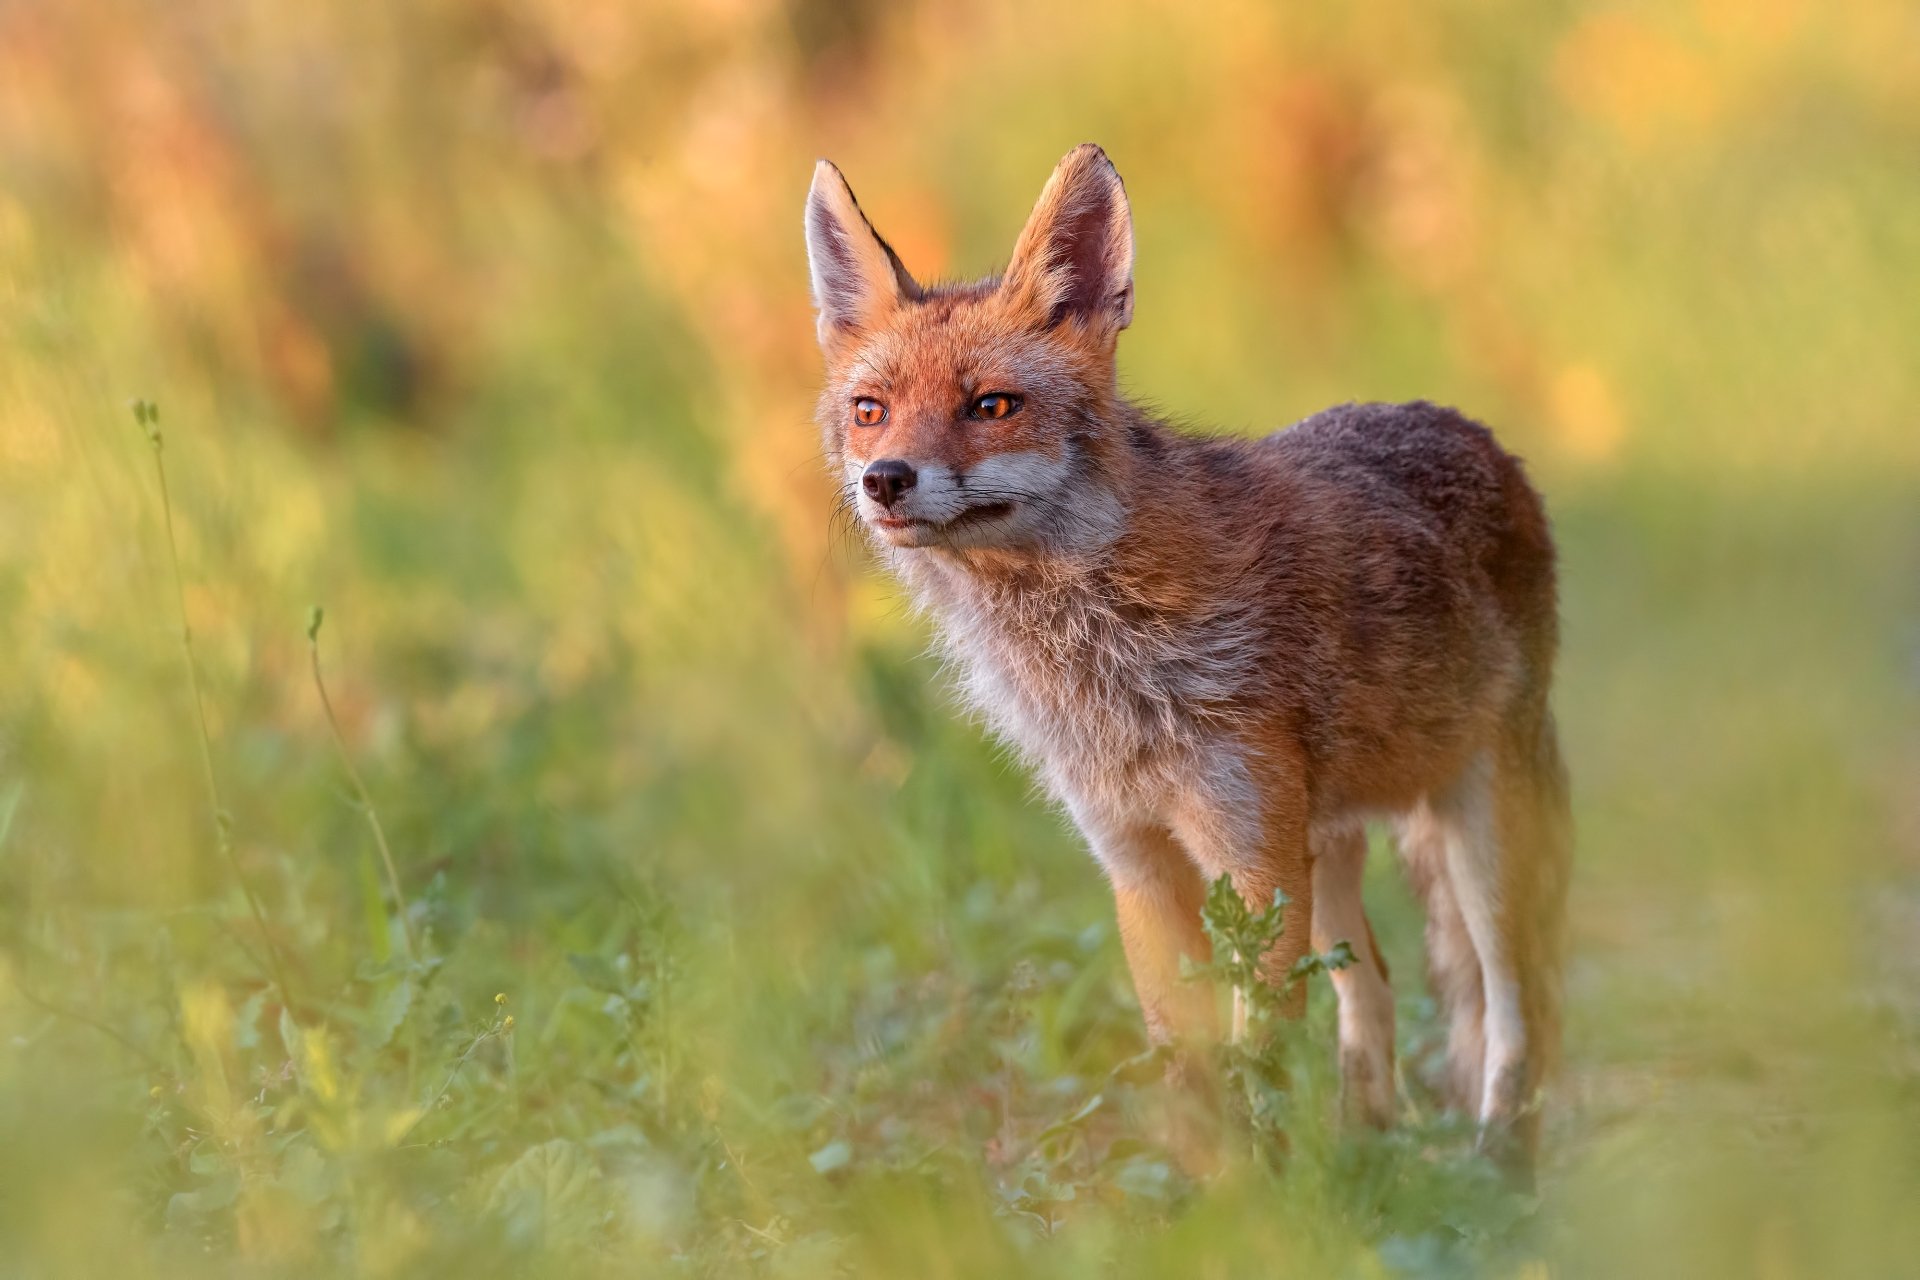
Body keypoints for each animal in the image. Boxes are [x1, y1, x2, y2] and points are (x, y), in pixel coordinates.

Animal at [803, 143, 1570, 1172]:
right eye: (871, 410)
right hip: (1328, 853)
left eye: (991, 406)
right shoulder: (1137, 861)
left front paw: (1265, 1195)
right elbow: (1197, 1075)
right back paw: (1369, 1152)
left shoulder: (1252, 864)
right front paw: (1221, 1195)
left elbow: (1258, 1065)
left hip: (1479, 841)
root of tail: (1460, 423)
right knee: (1370, 990)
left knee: (1515, 1009)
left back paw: (1497, 1167)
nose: (885, 481)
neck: (1099, 659)